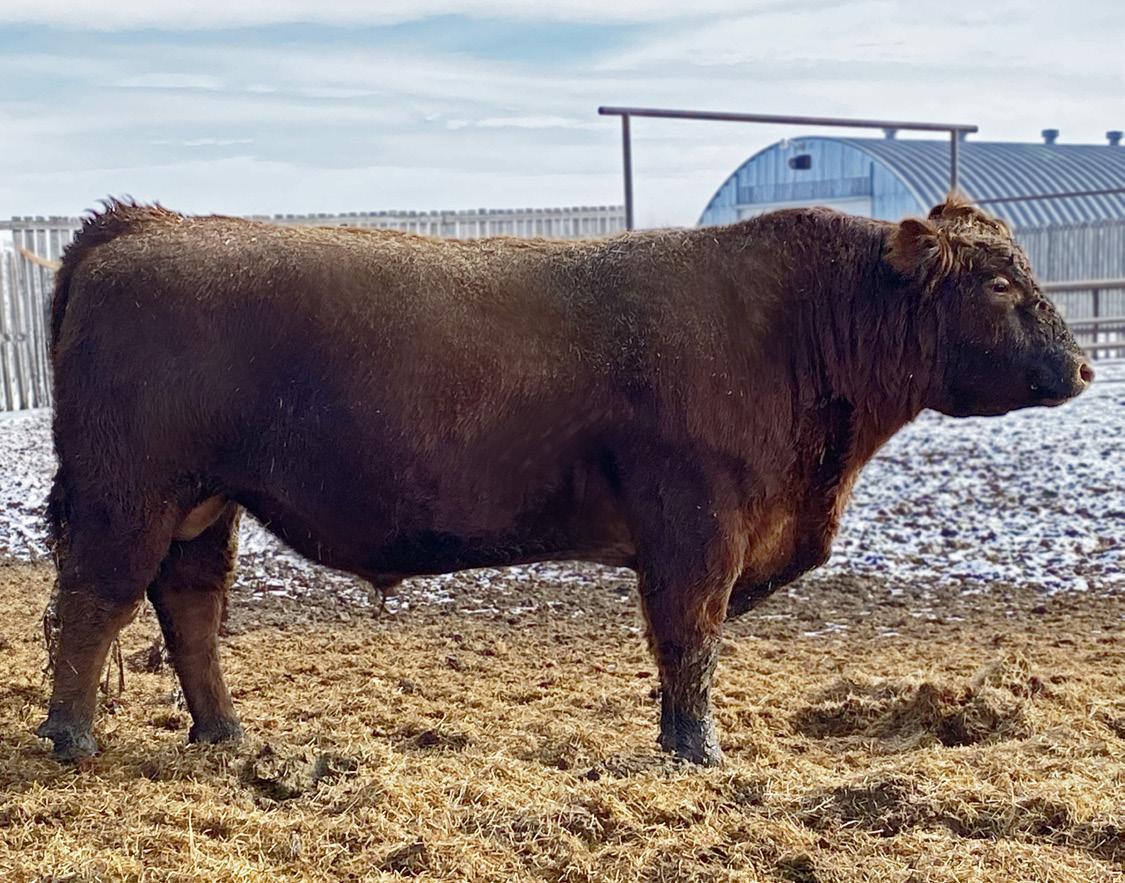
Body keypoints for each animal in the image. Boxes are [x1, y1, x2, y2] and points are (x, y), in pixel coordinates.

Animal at [37, 196, 1092, 765]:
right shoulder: (695, 529)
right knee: (95, 602)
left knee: (188, 608)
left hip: (201, 505)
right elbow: (690, 641)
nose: (1084, 367)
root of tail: (144, 225)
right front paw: (697, 752)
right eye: (999, 283)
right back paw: (73, 736)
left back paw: (225, 733)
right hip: (129, 494)